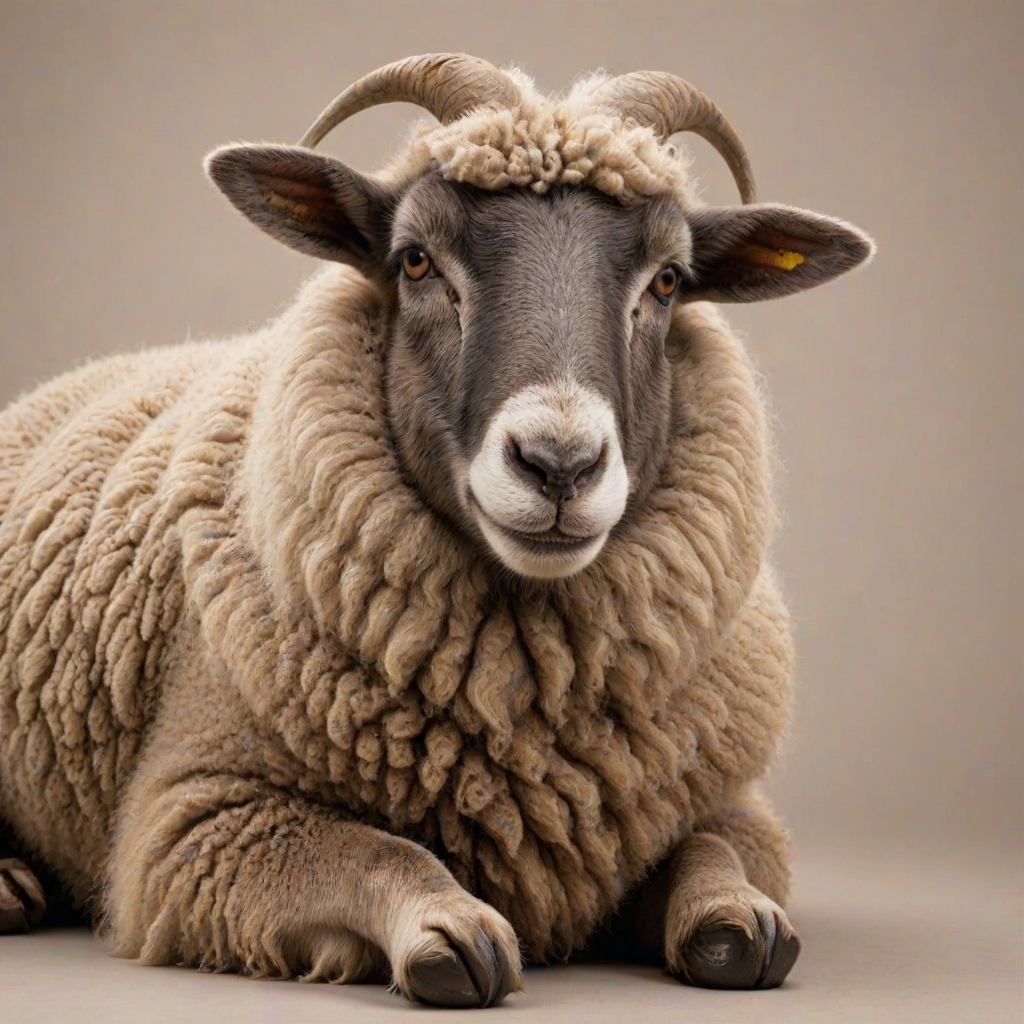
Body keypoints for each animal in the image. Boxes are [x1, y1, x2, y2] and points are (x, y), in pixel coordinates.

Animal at [0, 53, 873, 1006]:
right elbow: (369, 849)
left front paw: (735, 918)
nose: (559, 463)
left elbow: (718, 855)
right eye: (416, 260)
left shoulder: (731, 805)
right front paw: (444, 925)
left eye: (670, 280)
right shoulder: (193, 818)